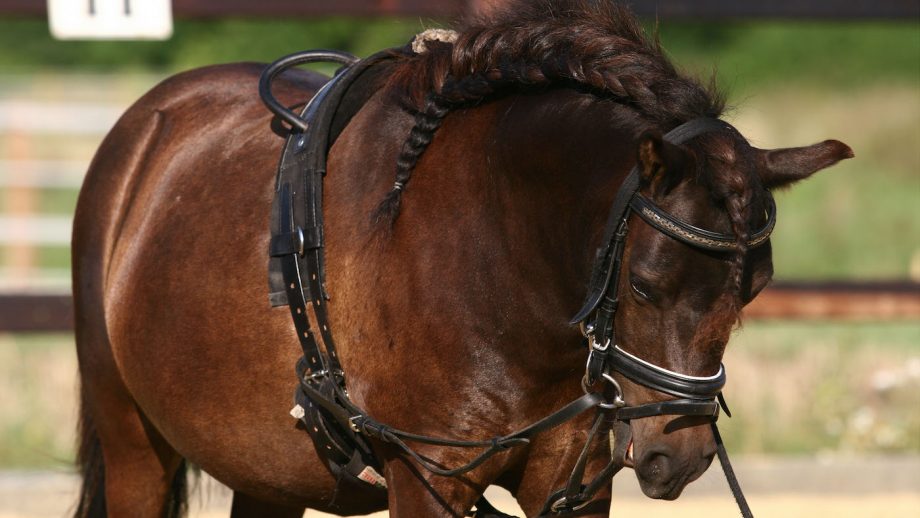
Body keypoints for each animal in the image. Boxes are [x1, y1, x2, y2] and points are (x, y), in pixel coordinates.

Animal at [70, 1, 852, 516]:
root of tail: (144, 128)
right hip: (133, 444)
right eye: (643, 284)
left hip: (265, 473)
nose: (677, 456)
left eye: (751, 292)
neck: (501, 263)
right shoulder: (428, 478)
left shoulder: (565, 486)